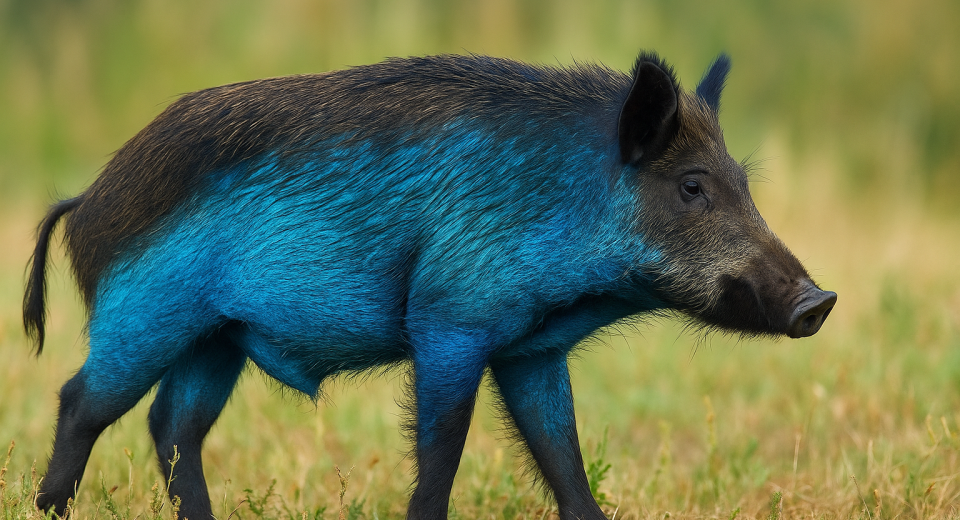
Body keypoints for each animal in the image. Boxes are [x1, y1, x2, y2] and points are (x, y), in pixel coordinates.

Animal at [23, 51, 836, 519]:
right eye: (692, 186)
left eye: (742, 184)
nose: (820, 301)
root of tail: (86, 201)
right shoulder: (450, 323)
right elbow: (443, 451)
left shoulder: (530, 350)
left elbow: (562, 455)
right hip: (143, 315)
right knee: (79, 402)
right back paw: (48, 508)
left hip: (215, 341)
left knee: (174, 427)